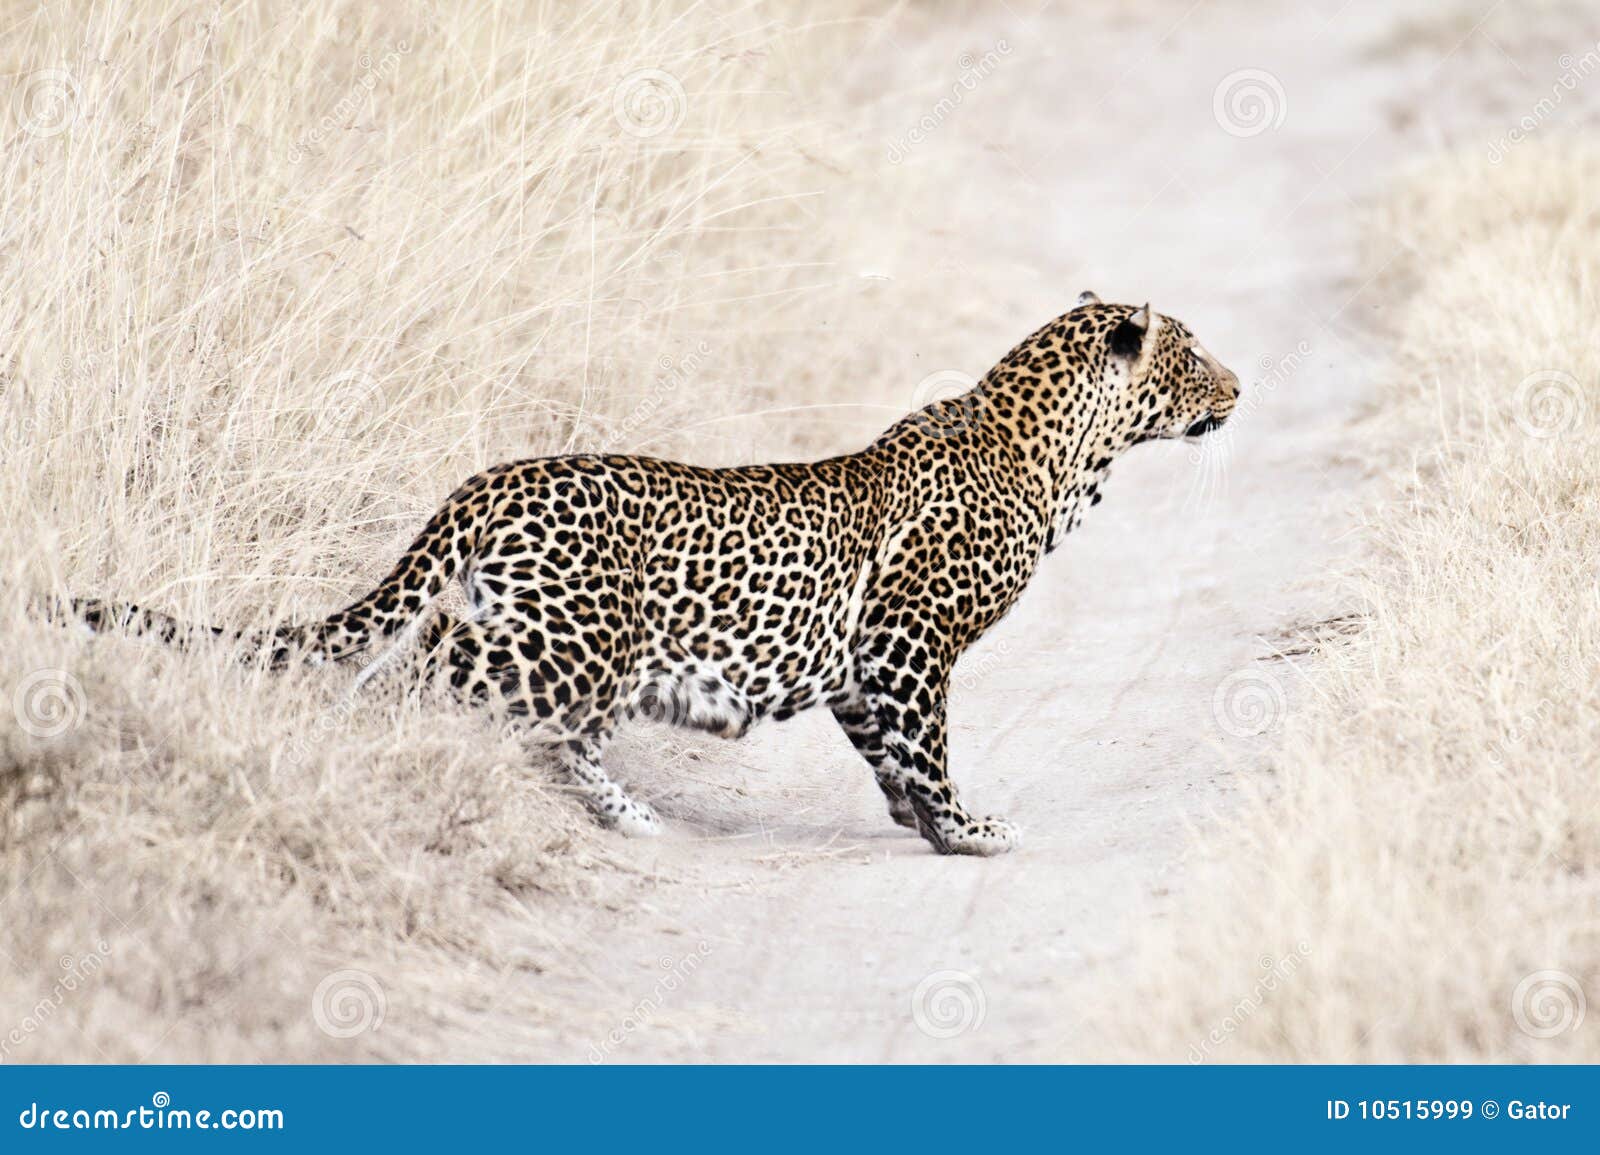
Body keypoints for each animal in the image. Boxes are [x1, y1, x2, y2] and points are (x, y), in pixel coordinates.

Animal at [56, 294, 1239, 856]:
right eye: (1192, 356)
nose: (1240, 384)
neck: (1061, 455)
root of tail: (490, 480)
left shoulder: (861, 662)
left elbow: (886, 752)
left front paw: (922, 823)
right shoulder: (909, 645)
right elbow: (930, 746)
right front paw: (968, 828)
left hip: (528, 634)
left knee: (479, 701)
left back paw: (624, 812)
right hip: (568, 648)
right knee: (424, 694)